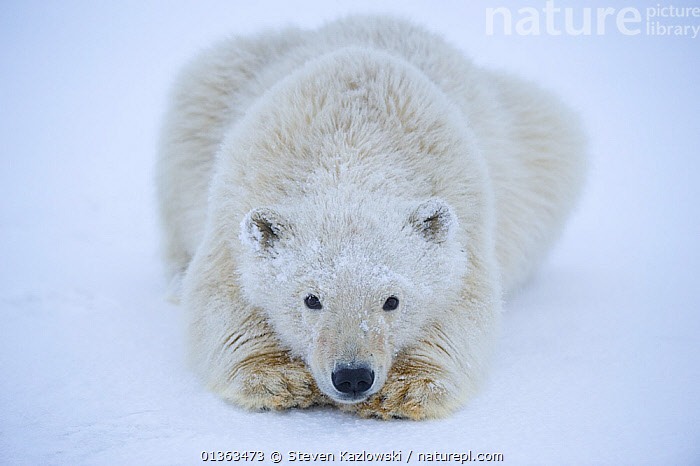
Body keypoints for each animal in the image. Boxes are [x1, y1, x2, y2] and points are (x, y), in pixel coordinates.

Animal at [156, 16, 586, 420]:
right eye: (312, 299)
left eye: (392, 300)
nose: (352, 376)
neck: (354, 143)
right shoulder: (239, 199)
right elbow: (220, 301)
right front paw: (279, 379)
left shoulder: (465, 209)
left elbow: (462, 310)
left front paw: (406, 390)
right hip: (207, 99)